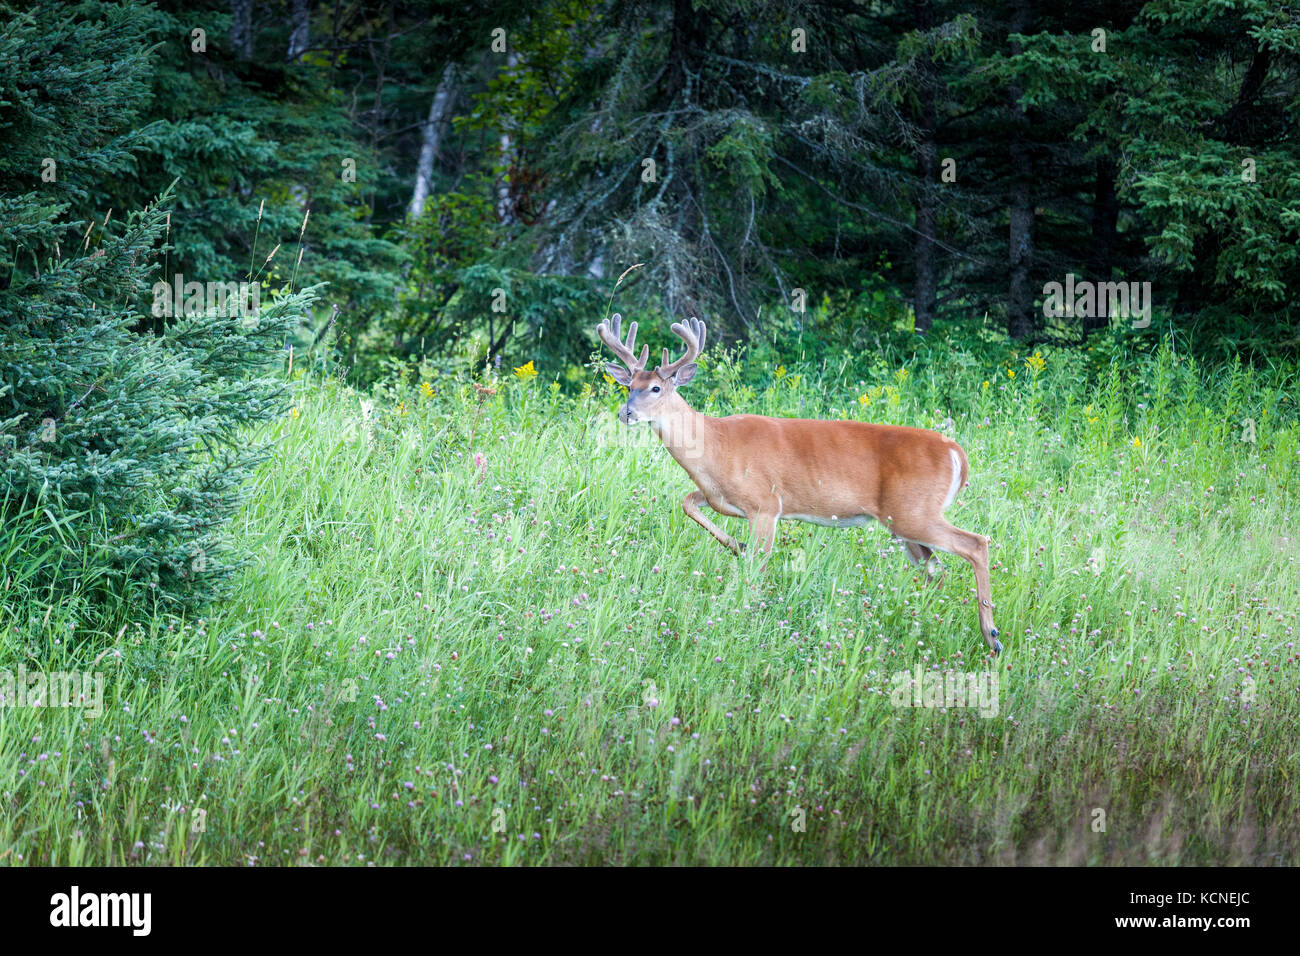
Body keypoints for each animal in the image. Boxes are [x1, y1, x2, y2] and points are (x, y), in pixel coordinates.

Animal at [596, 314, 1002, 654]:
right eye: (629, 385)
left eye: (655, 389)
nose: (625, 413)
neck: (716, 445)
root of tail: (955, 451)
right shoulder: (718, 497)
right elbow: (687, 503)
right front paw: (736, 545)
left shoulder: (765, 504)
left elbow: (755, 568)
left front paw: (743, 612)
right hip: (904, 525)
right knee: (937, 571)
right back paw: (927, 625)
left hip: (912, 511)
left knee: (976, 544)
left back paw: (992, 636)